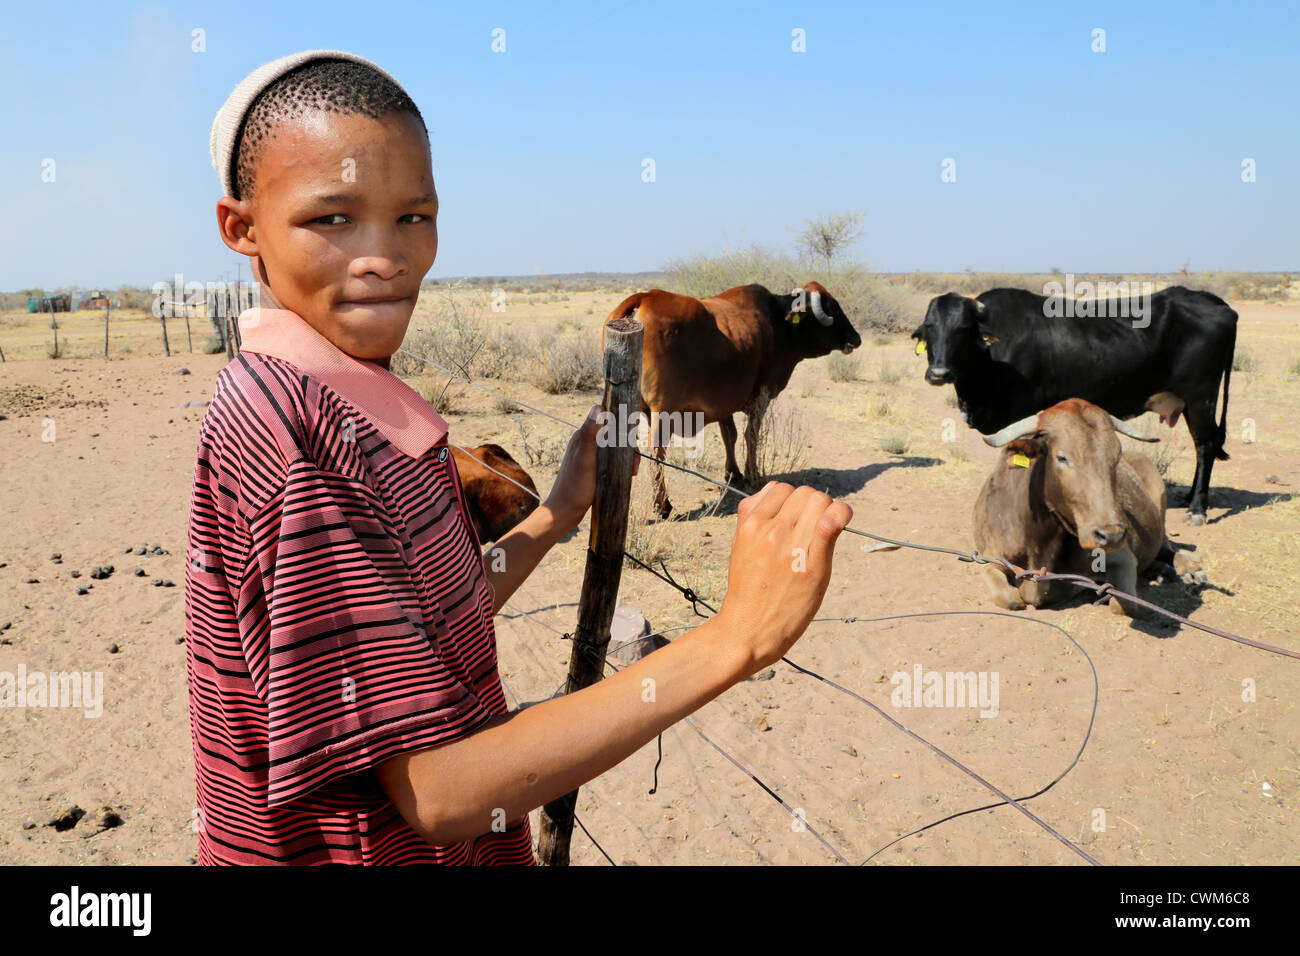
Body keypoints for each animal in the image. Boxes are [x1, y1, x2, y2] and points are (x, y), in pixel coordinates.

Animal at [605, 281, 861, 518]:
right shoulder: (761, 396)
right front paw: (753, 475)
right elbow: (751, 435)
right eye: (833, 307)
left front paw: (734, 473)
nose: (856, 337)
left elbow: (730, 435)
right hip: (662, 410)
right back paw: (662, 505)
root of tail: (645, 297)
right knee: (657, 452)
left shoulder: (723, 404)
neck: (779, 323)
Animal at [912, 285, 1237, 524]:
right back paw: (1191, 498)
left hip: (1201, 397)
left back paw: (1197, 509)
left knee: (1205, 445)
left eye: (963, 328)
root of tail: (1218, 304)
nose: (939, 373)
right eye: (929, 326)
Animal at [973, 398, 1204, 617]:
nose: (1112, 536)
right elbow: (1009, 598)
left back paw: (1189, 569)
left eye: (1116, 456)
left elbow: (1125, 605)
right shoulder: (990, 558)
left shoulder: (1123, 558)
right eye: (1062, 457)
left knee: (1167, 547)